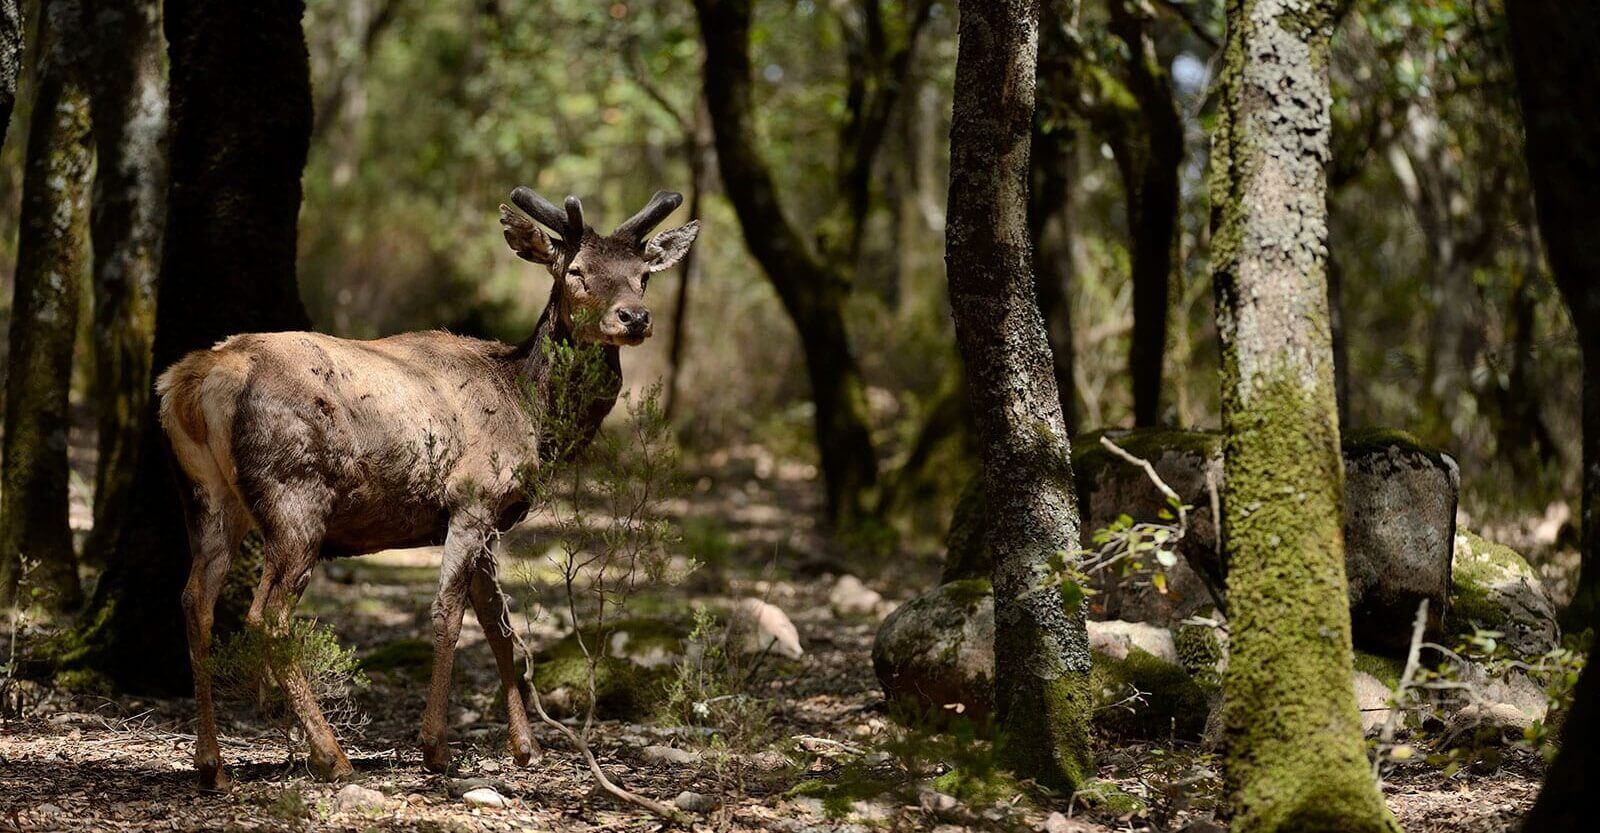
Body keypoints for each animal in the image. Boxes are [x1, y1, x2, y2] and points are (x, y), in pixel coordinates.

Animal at [158, 187, 698, 790]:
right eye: (576, 271)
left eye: (643, 275)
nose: (634, 317)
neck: (528, 409)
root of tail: (194, 382)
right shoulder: (473, 496)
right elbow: (448, 613)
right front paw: (436, 747)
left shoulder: (489, 519)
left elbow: (498, 622)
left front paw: (526, 747)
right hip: (295, 496)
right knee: (265, 617)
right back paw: (331, 755)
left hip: (204, 496)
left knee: (195, 601)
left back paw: (212, 764)